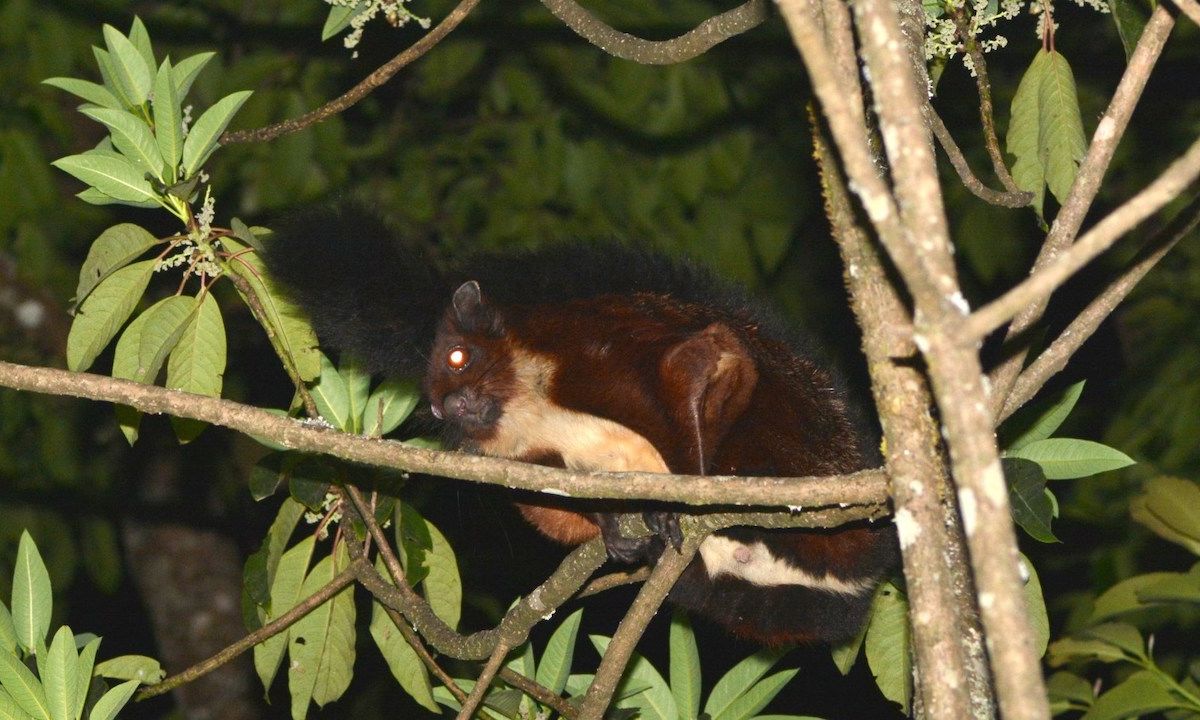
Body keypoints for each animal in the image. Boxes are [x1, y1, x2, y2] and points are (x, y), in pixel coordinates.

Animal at [265, 205, 897, 644]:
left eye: (458, 358)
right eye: (435, 406)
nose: (454, 407)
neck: (532, 409)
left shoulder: (591, 349)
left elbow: (704, 364)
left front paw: (676, 506)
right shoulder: (529, 460)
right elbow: (562, 502)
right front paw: (619, 527)